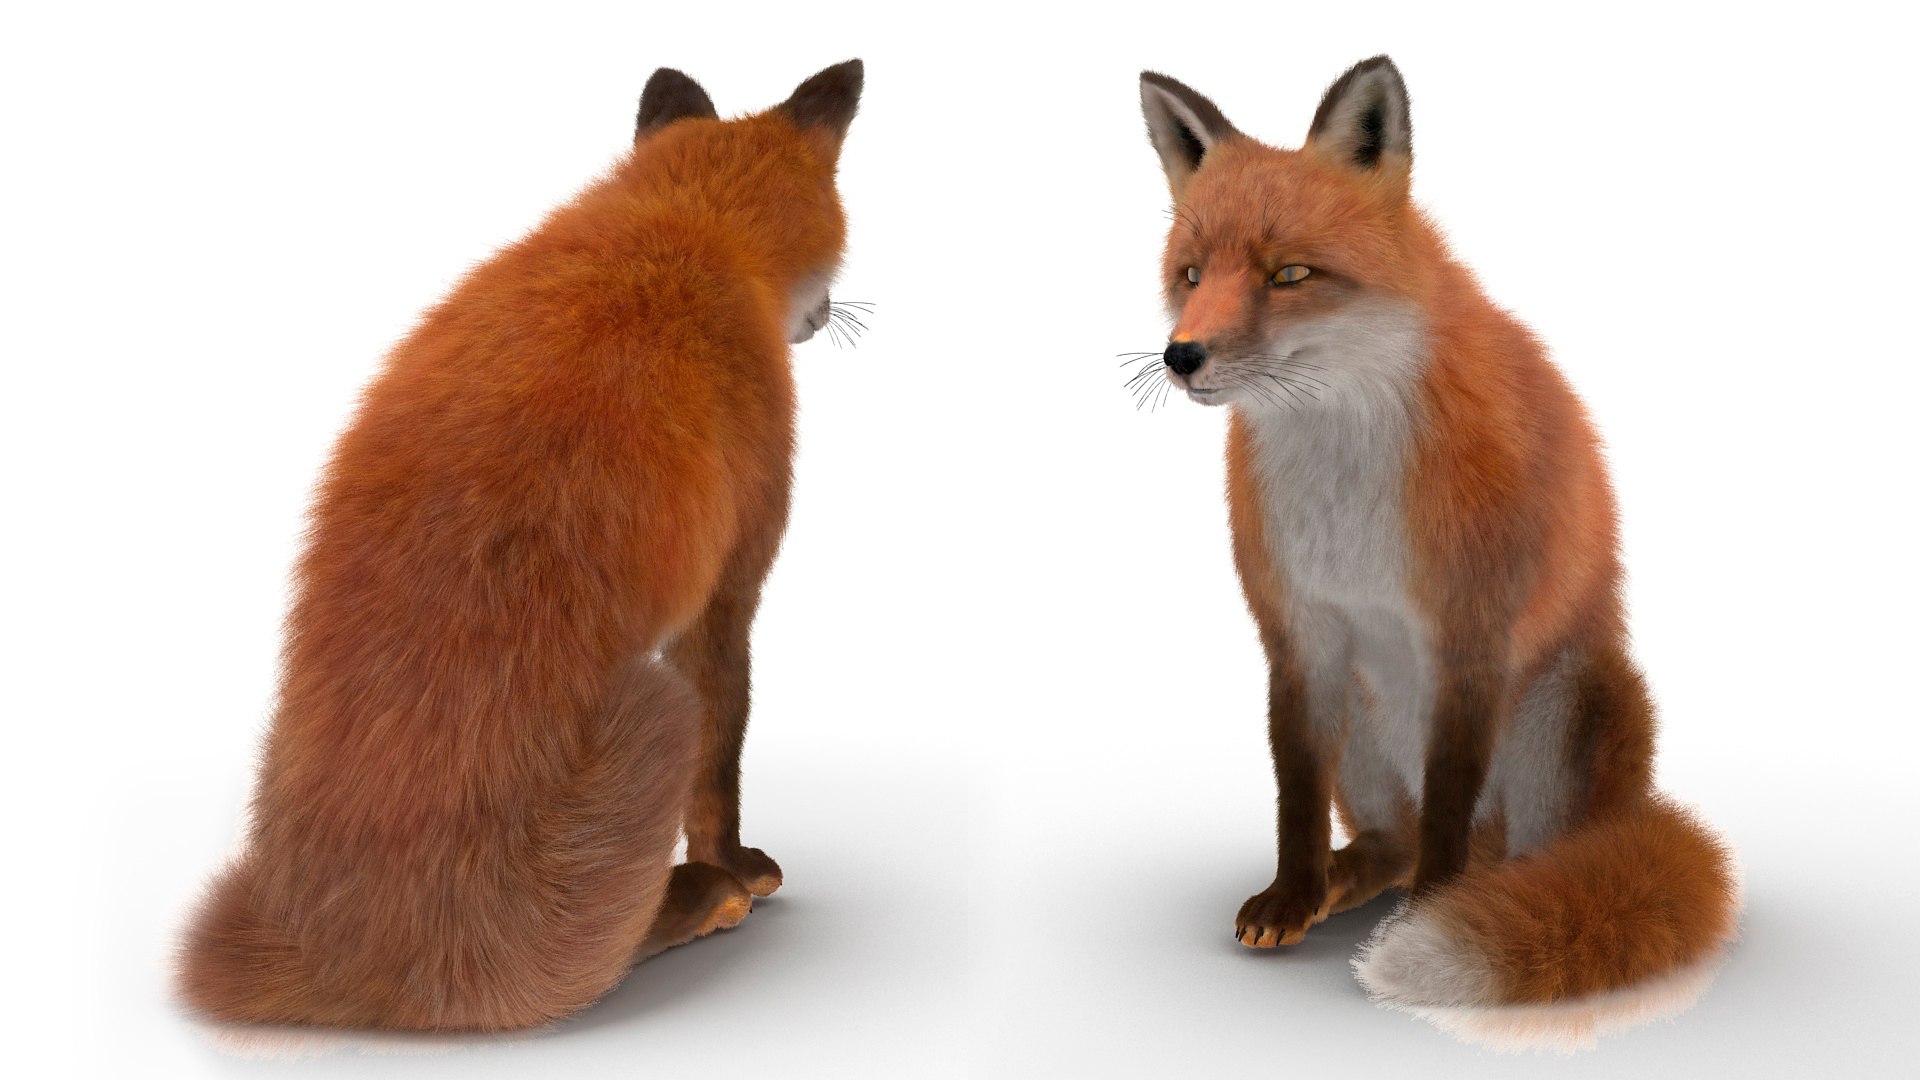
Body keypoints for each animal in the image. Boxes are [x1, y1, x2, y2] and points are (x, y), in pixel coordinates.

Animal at [177, 60, 863, 1031]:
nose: (829, 312)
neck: (681, 229)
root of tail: (337, 970)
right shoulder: (730, 587)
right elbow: (720, 765)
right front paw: (732, 865)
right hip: (650, 724)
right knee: (592, 959)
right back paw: (697, 902)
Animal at [1136, 57, 1739, 1036]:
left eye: (1289, 273)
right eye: (1191, 275)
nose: (1180, 356)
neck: (1342, 473)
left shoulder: (1468, 637)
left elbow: (1452, 795)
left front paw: (1434, 913)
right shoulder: (1300, 636)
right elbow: (1295, 797)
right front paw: (1292, 894)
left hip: (1569, 706)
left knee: (1503, 851)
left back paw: (1479, 892)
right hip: (1364, 718)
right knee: (1393, 840)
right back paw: (1347, 880)